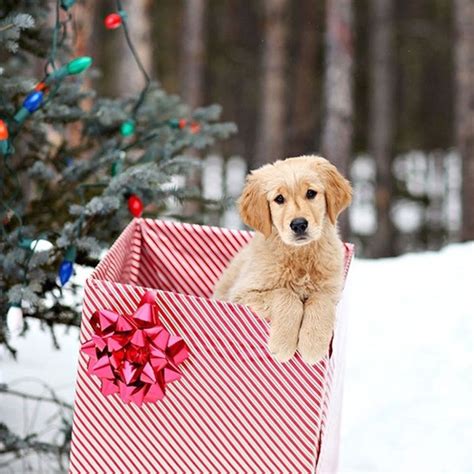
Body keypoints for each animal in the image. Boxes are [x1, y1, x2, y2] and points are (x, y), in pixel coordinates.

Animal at [213, 156, 350, 362]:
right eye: (279, 199)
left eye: (311, 193)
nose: (299, 224)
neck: (300, 256)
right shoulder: (243, 293)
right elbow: (286, 295)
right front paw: (284, 344)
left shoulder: (333, 290)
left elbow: (321, 300)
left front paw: (312, 344)